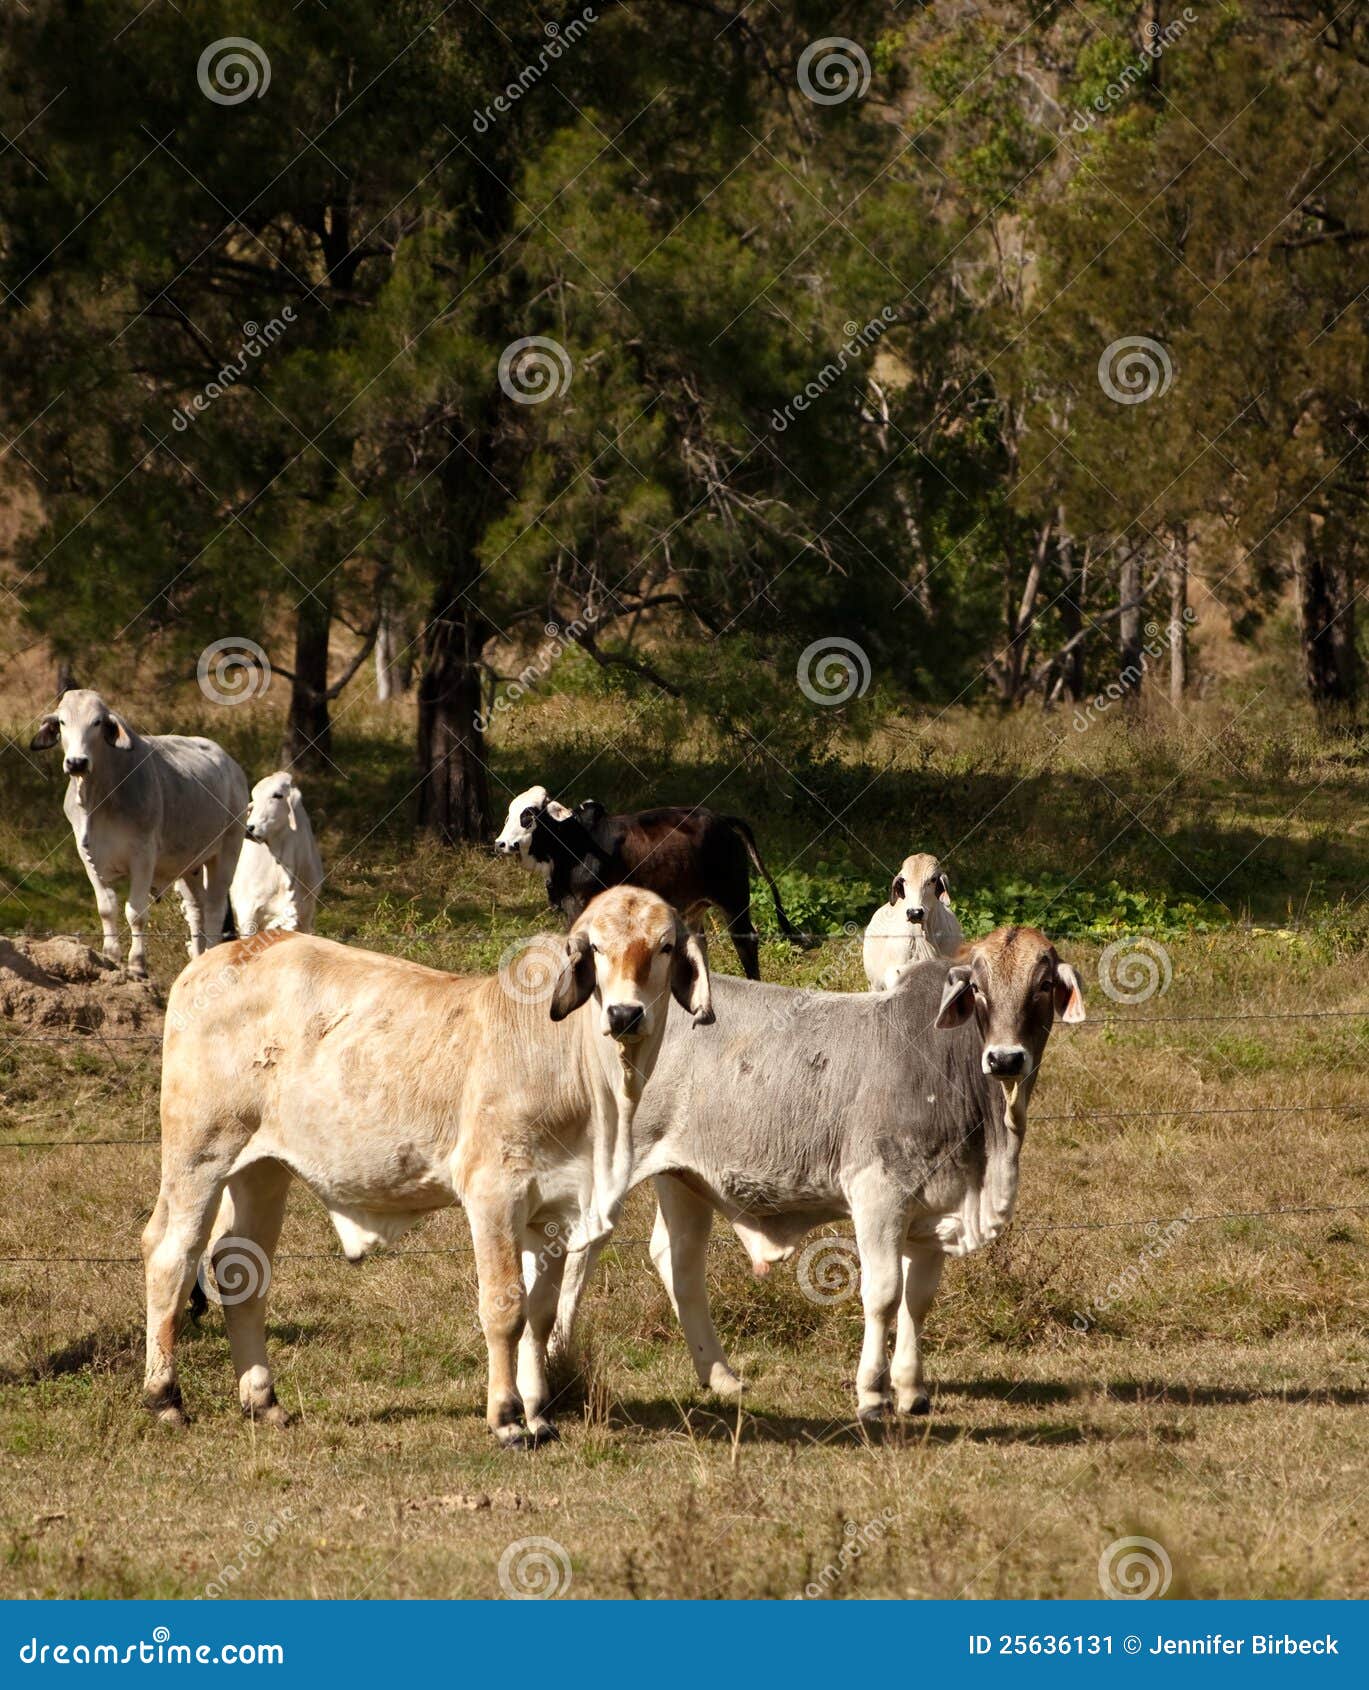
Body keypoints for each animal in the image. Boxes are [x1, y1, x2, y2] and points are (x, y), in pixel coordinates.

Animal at [29, 690, 249, 977]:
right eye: (63, 722)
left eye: (97, 722)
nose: (77, 762)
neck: (99, 798)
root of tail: (233, 766)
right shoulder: (88, 856)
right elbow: (107, 908)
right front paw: (111, 956)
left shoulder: (143, 856)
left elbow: (135, 912)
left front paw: (137, 964)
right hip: (188, 866)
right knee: (196, 909)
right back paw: (196, 959)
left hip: (226, 852)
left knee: (214, 908)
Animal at [142, 887, 714, 1448]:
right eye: (595, 948)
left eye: (664, 947)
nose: (624, 1014)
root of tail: (219, 959)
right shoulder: (494, 1195)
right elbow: (504, 1309)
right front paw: (507, 1418)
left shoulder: (553, 1212)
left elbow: (540, 1316)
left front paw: (539, 1416)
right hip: (199, 1154)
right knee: (171, 1254)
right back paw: (165, 1397)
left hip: (261, 1169)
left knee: (241, 1267)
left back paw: (263, 1400)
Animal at [494, 783, 809, 979]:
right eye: (508, 815)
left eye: (528, 816)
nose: (501, 843)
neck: (571, 844)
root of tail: (722, 818)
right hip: (695, 907)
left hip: (734, 898)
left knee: (746, 940)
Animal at [543, 926, 1084, 1422]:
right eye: (977, 986)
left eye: (1041, 985)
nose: (1006, 1058)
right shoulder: (878, 1196)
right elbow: (884, 1294)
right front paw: (872, 1393)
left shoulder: (935, 1212)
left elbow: (917, 1300)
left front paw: (912, 1389)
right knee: (580, 1249)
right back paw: (556, 1357)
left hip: (681, 1176)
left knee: (679, 1261)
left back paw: (720, 1375)